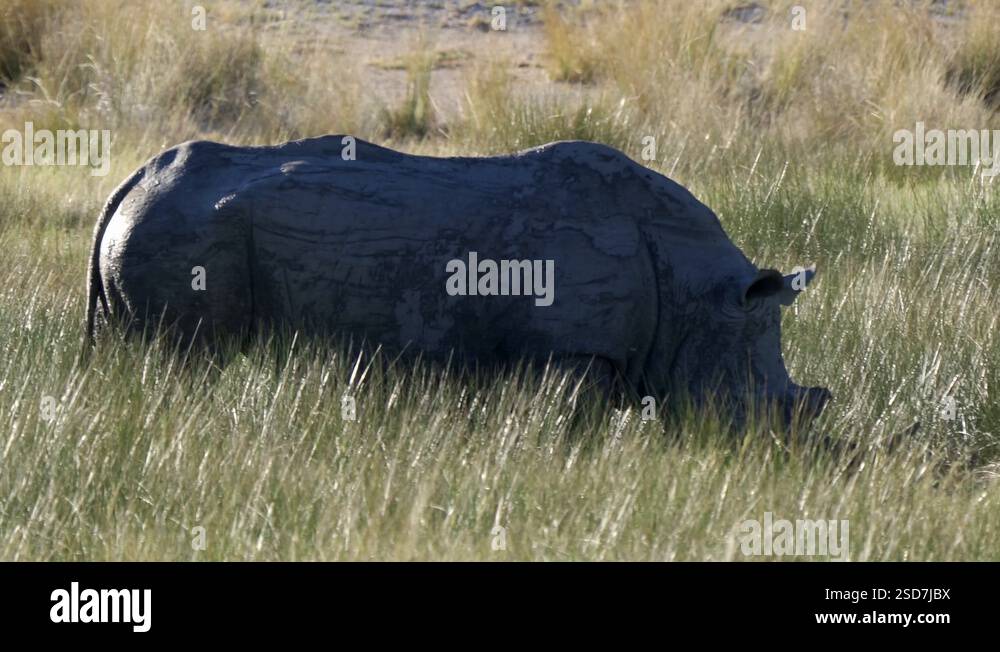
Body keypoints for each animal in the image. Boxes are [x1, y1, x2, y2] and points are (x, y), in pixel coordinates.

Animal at [86, 135, 830, 422]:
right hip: (181, 234)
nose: (788, 459)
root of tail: (132, 181)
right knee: (185, 360)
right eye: (761, 408)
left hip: (165, 224)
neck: (697, 295)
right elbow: (569, 426)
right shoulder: (573, 353)